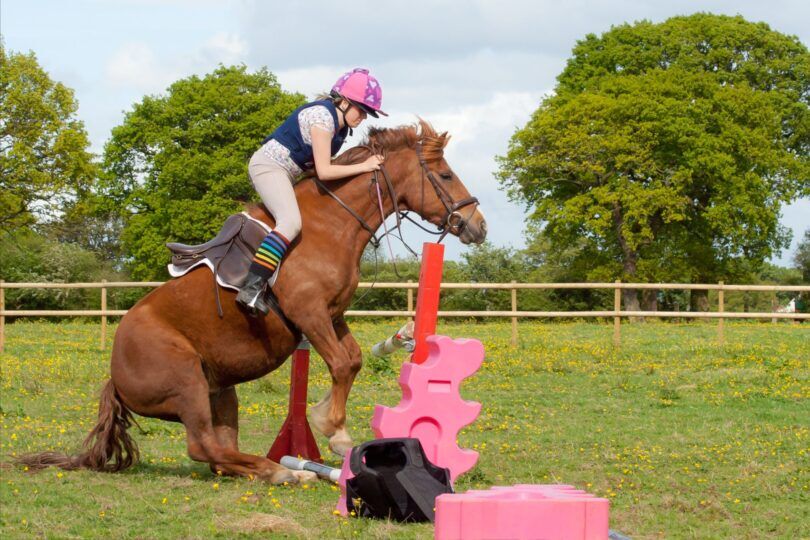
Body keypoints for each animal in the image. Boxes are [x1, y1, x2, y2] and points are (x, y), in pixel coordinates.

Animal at [19, 119, 487, 484]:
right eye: (445, 175)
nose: (478, 225)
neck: (328, 226)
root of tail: (115, 378)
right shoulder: (309, 313)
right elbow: (340, 364)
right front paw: (334, 432)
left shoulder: (330, 314)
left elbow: (352, 360)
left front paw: (329, 428)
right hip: (186, 381)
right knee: (203, 447)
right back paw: (282, 470)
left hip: (220, 391)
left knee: (220, 454)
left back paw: (275, 469)